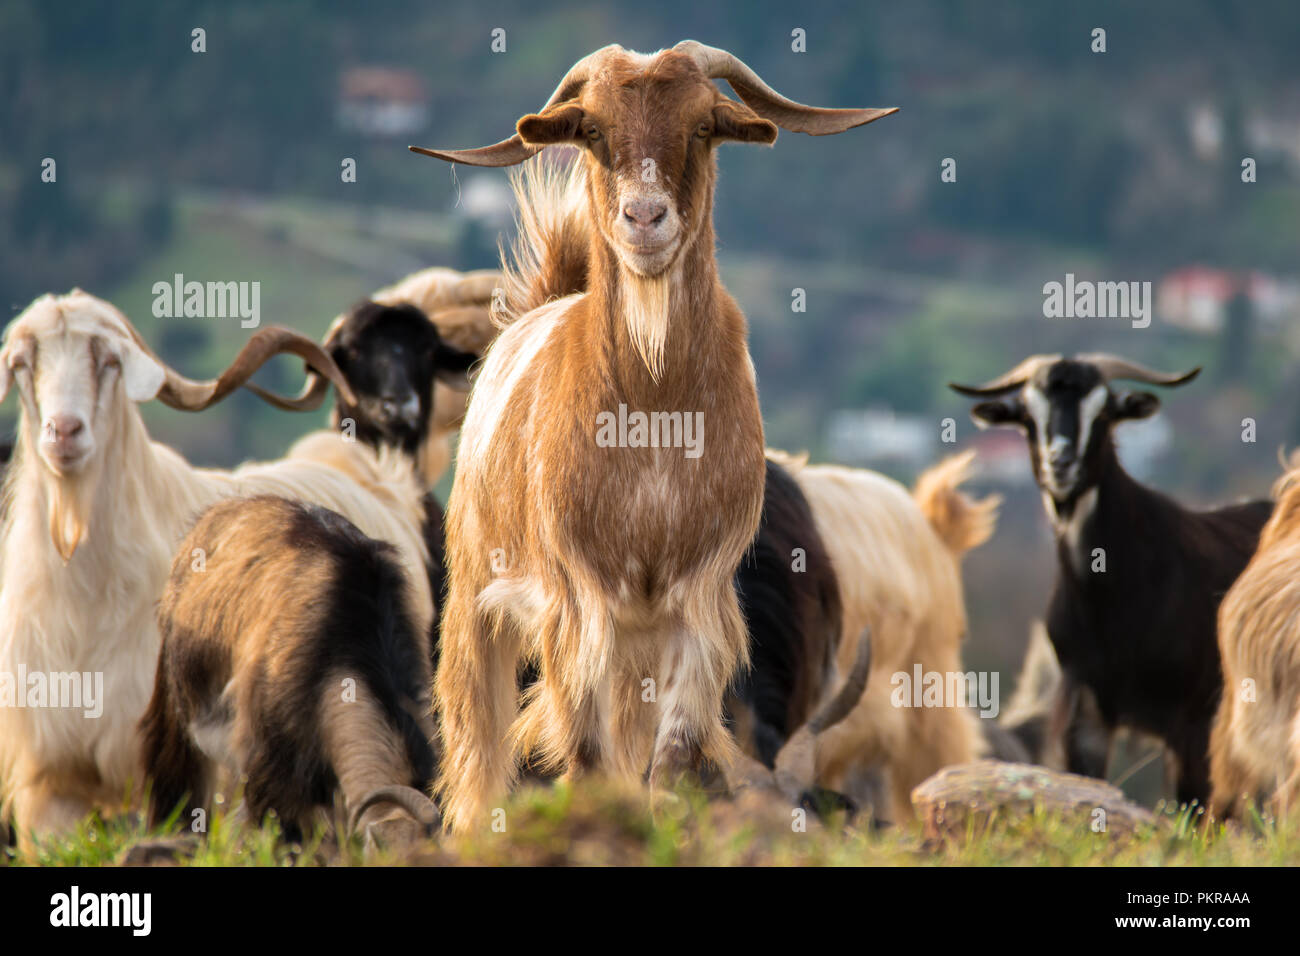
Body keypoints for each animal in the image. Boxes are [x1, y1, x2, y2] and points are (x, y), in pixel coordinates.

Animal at [410, 40, 896, 830]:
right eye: (594, 130)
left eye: (701, 126)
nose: (644, 217)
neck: (654, 414)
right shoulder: (579, 600)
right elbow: (586, 756)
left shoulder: (698, 600)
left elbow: (670, 757)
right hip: (477, 599)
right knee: (477, 749)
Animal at [951, 353, 1272, 805]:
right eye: (1029, 415)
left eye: (1103, 412)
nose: (1060, 462)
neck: (1111, 600)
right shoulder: (1087, 713)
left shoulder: (1192, 717)